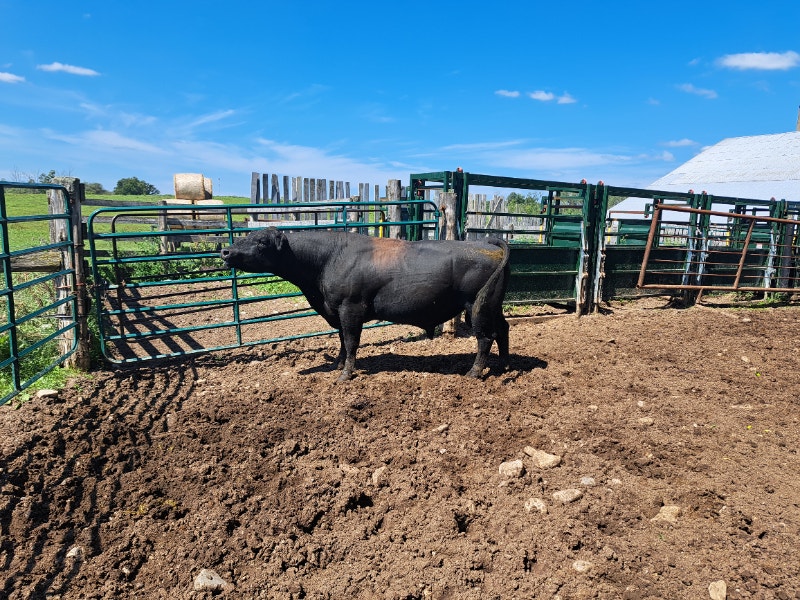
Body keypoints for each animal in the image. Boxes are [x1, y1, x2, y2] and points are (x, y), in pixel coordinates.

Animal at [220, 228, 510, 381]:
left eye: (261, 242)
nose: (225, 251)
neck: (328, 259)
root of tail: (487, 243)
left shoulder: (351, 308)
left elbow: (350, 342)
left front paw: (345, 375)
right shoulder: (336, 311)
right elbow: (340, 341)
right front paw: (337, 366)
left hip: (476, 307)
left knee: (485, 337)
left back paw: (474, 372)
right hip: (493, 305)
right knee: (504, 330)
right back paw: (504, 365)